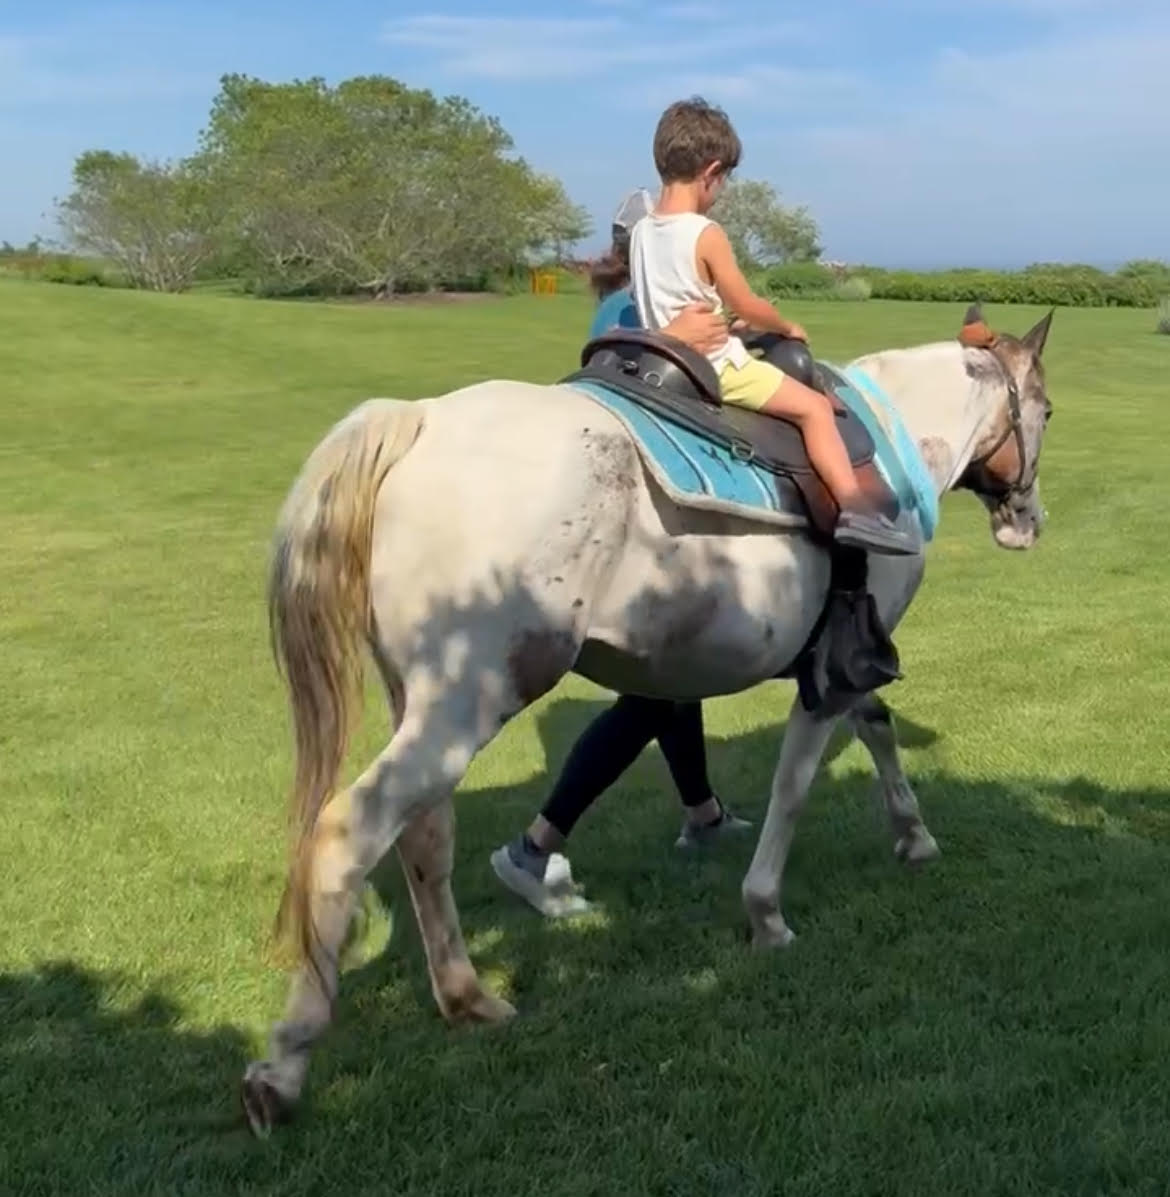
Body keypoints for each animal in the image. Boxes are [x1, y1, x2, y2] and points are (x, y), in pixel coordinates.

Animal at [240, 302, 1056, 1134]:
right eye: (1047, 411)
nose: (1028, 519)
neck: (892, 443)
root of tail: (420, 420)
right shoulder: (834, 670)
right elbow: (795, 788)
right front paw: (767, 913)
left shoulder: (844, 658)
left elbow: (880, 726)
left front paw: (913, 835)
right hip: (469, 699)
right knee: (348, 833)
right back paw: (283, 1065)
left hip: (423, 700)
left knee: (424, 836)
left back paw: (468, 995)